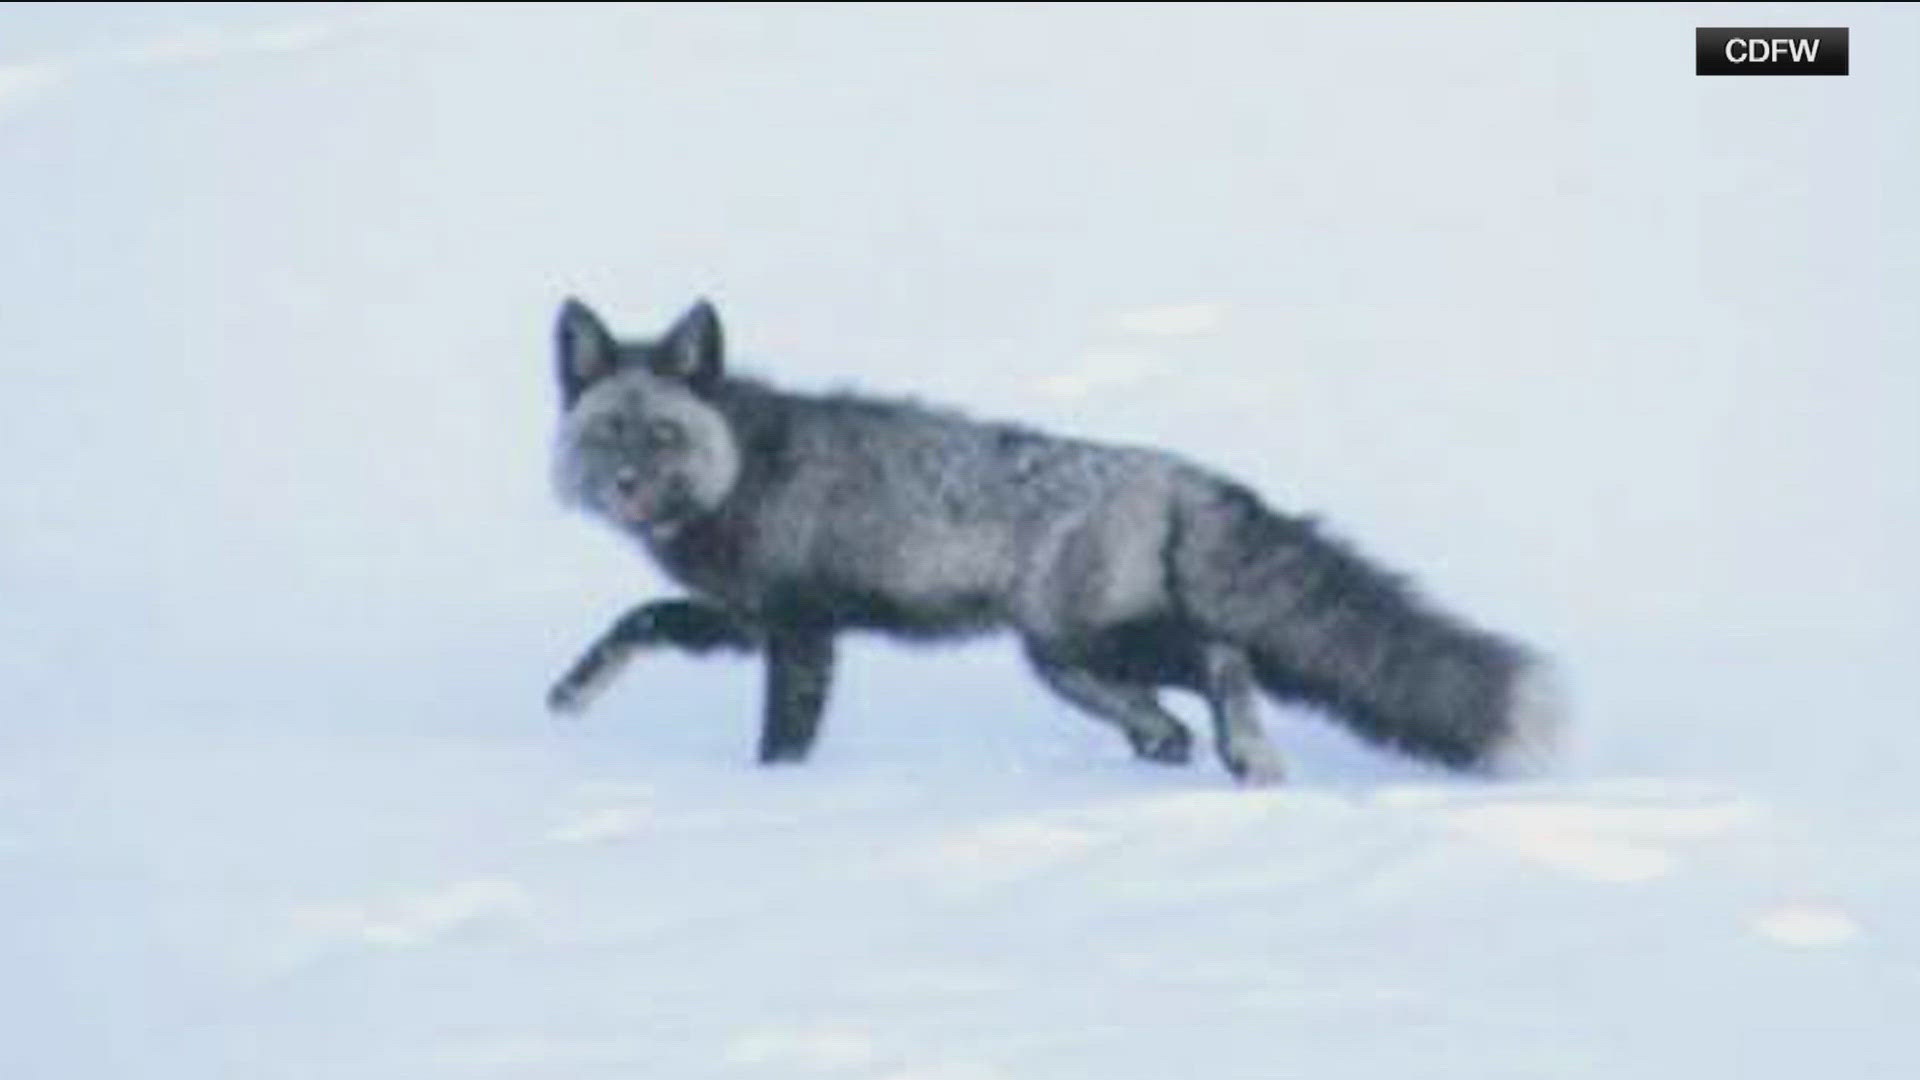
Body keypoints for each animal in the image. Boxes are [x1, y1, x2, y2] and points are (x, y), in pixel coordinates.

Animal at [545, 297, 1561, 785]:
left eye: (662, 435)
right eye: (608, 434)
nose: (625, 488)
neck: (742, 469)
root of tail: (1177, 472)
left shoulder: (800, 633)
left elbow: (781, 737)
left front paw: (772, 799)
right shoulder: (744, 620)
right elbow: (639, 621)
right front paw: (570, 695)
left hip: (1090, 640)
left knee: (1223, 656)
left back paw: (1247, 754)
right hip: (1064, 659)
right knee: (1170, 713)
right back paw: (1178, 749)